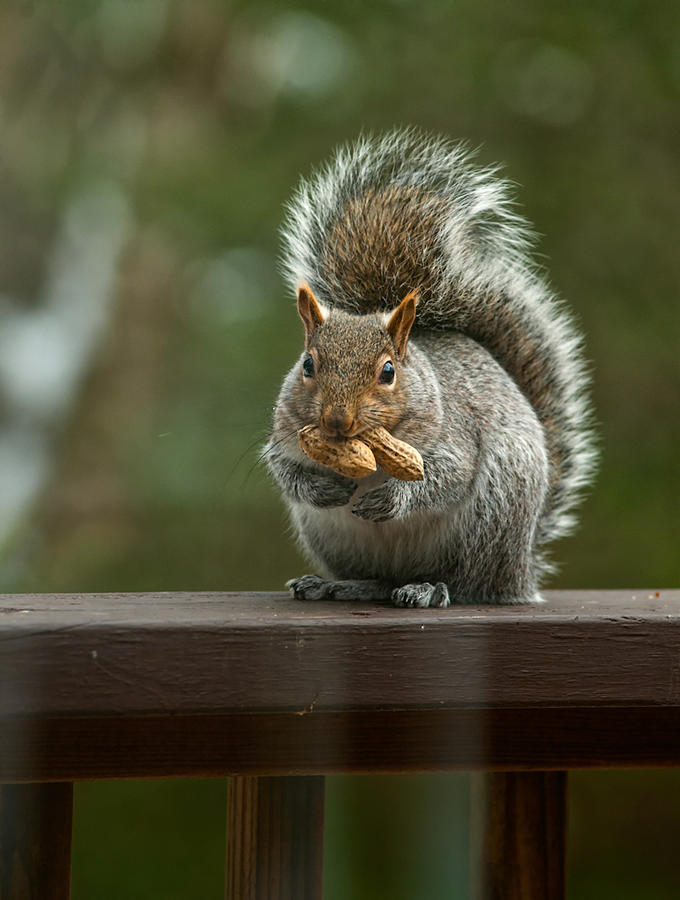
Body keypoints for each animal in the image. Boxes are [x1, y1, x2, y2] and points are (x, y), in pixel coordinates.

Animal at [265, 130, 596, 607]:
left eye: (388, 372)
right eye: (307, 365)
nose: (337, 421)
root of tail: (522, 571)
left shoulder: (454, 437)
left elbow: (446, 477)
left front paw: (392, 498)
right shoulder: (286, 435)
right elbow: (284, 470)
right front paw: (323, 489)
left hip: (495, 514)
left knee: (469, 584)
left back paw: (430, 587)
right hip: (336, 541)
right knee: (379, 580)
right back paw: (339, 584)